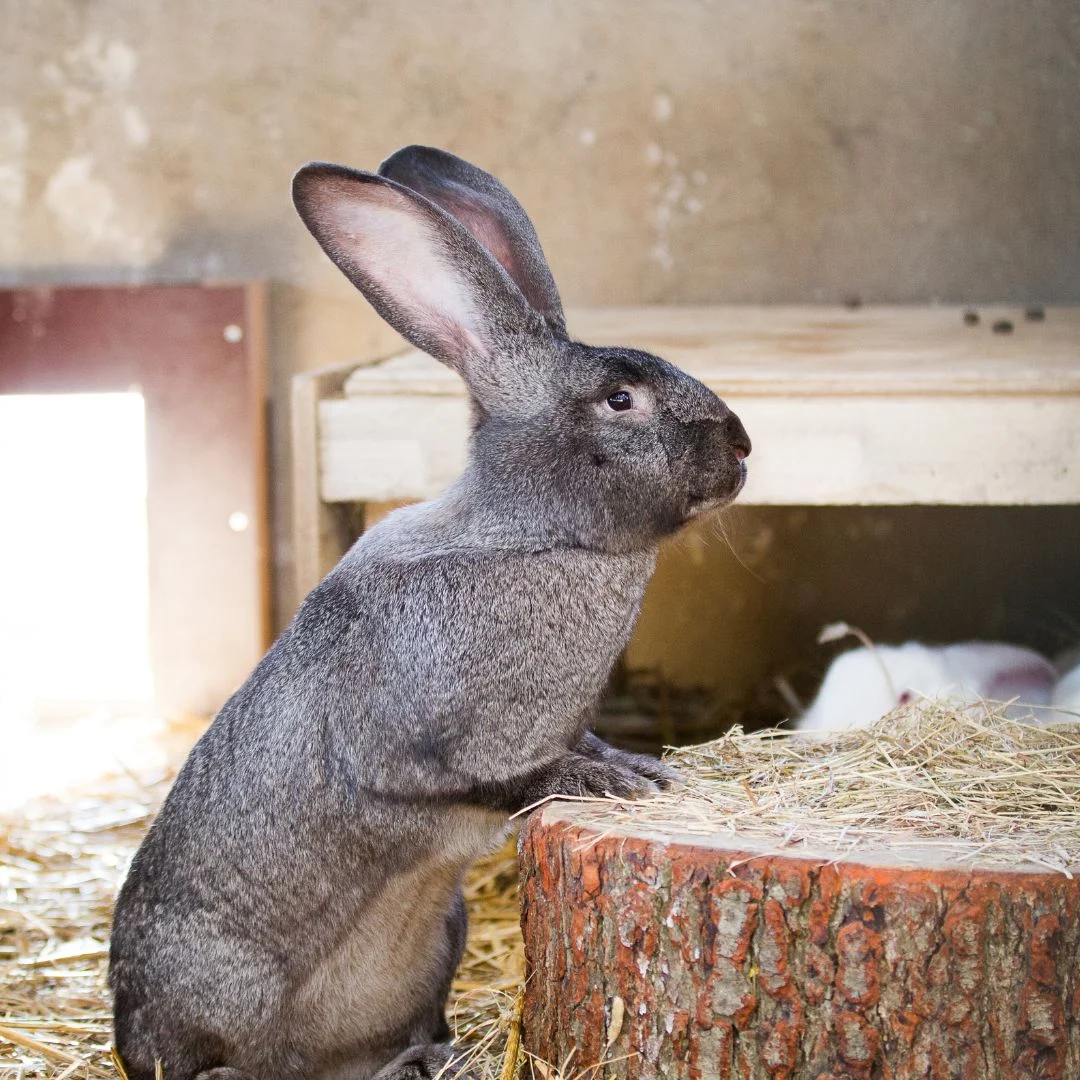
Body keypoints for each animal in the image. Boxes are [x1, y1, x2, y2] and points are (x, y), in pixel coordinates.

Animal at [108, 145, 751, 1080]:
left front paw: (633, 763)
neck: (532, 536)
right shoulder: (411, 743)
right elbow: (492, 777)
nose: (742, 447)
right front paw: (608, 781)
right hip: (214, 989)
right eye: (619, 399)